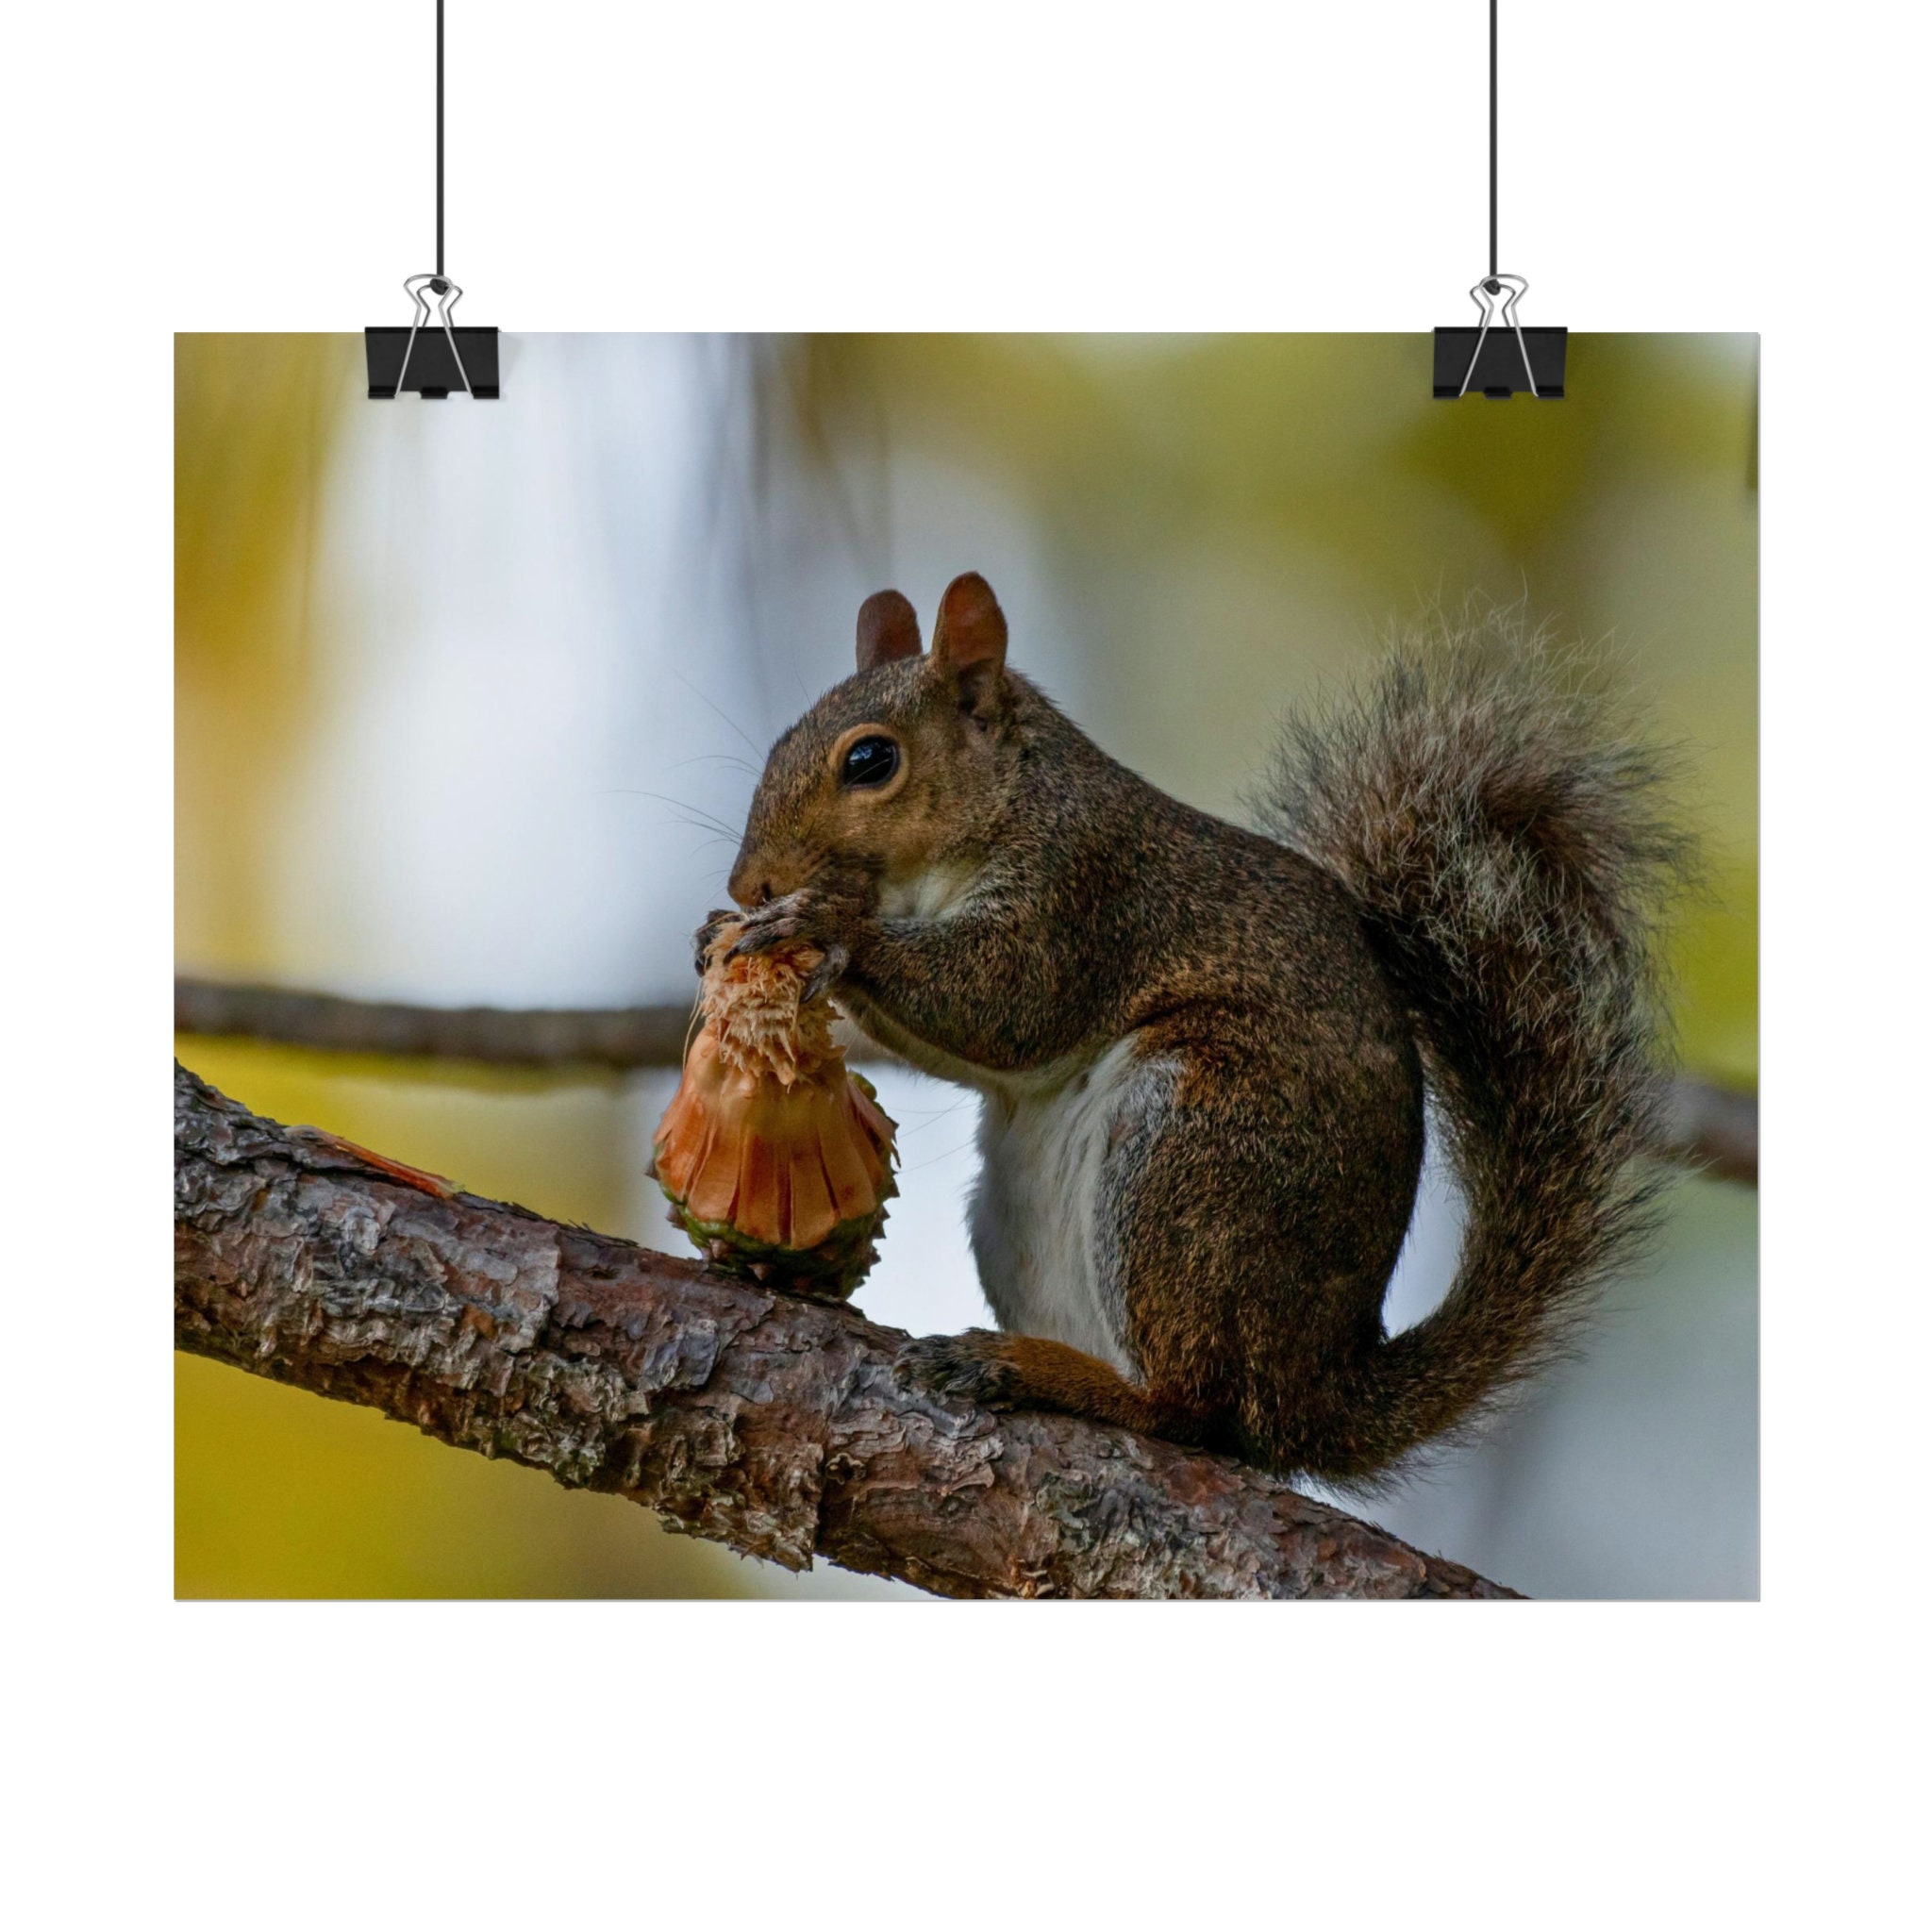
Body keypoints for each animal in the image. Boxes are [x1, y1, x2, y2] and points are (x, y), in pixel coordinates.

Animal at [700, 572, 1691, 1483]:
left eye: (870, 761)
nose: (749, 884)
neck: (1012, 799)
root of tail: (1316, 1389)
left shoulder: (1084, 893)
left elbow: (1007, 1002)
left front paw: (829, 926)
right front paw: (725, 946)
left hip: (1192, 1160)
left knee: (1195, 1408)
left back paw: (1043, 1374)